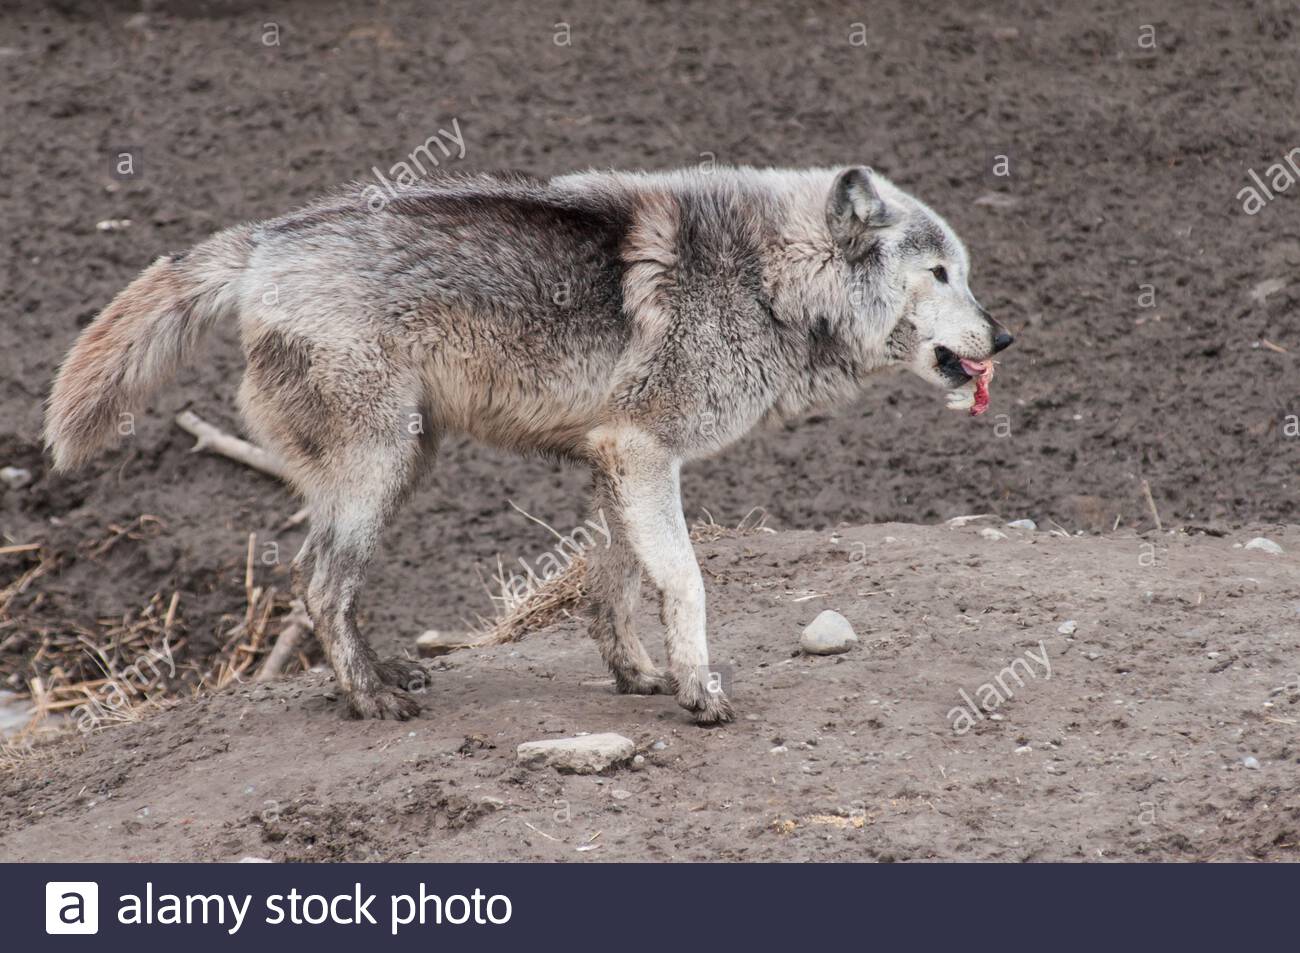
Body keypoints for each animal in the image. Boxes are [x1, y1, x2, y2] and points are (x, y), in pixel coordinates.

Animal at [45, 165, 1013, 725]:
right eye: (938, 274)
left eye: (963, 272)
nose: (1002, 338)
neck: (764, 278)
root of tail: (260, 244)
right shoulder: (643, 452)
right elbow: (685, 582)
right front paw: (699, 690)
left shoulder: (615, 462)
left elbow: (615, 587)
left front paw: (640, 676)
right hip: (382, 468)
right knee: (318, 582)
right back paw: (371, 698)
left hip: (405, 462)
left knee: (325, 585)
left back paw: (379, 677)